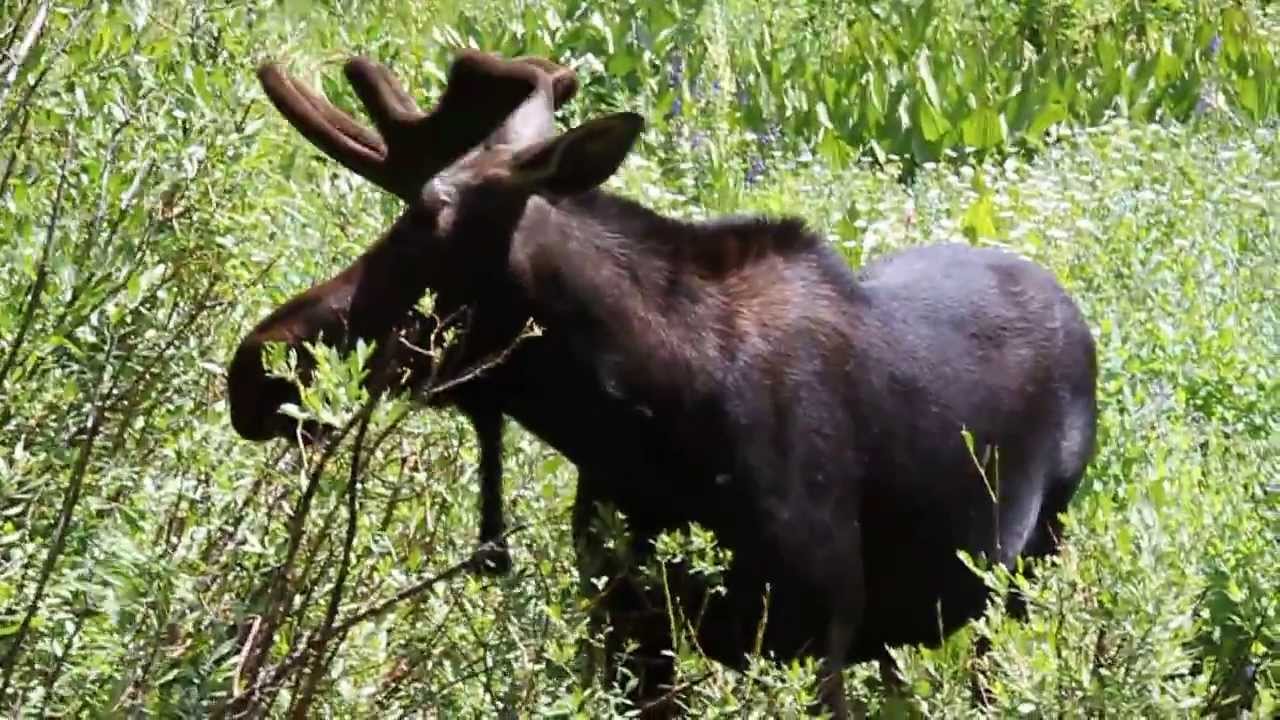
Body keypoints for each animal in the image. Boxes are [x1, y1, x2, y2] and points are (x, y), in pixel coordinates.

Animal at [226, 48, 1098, 718]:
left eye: (429, 229)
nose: (254, 368)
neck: (647, 434)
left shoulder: (816, 640)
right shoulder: (627, 628)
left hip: (1026, 573)